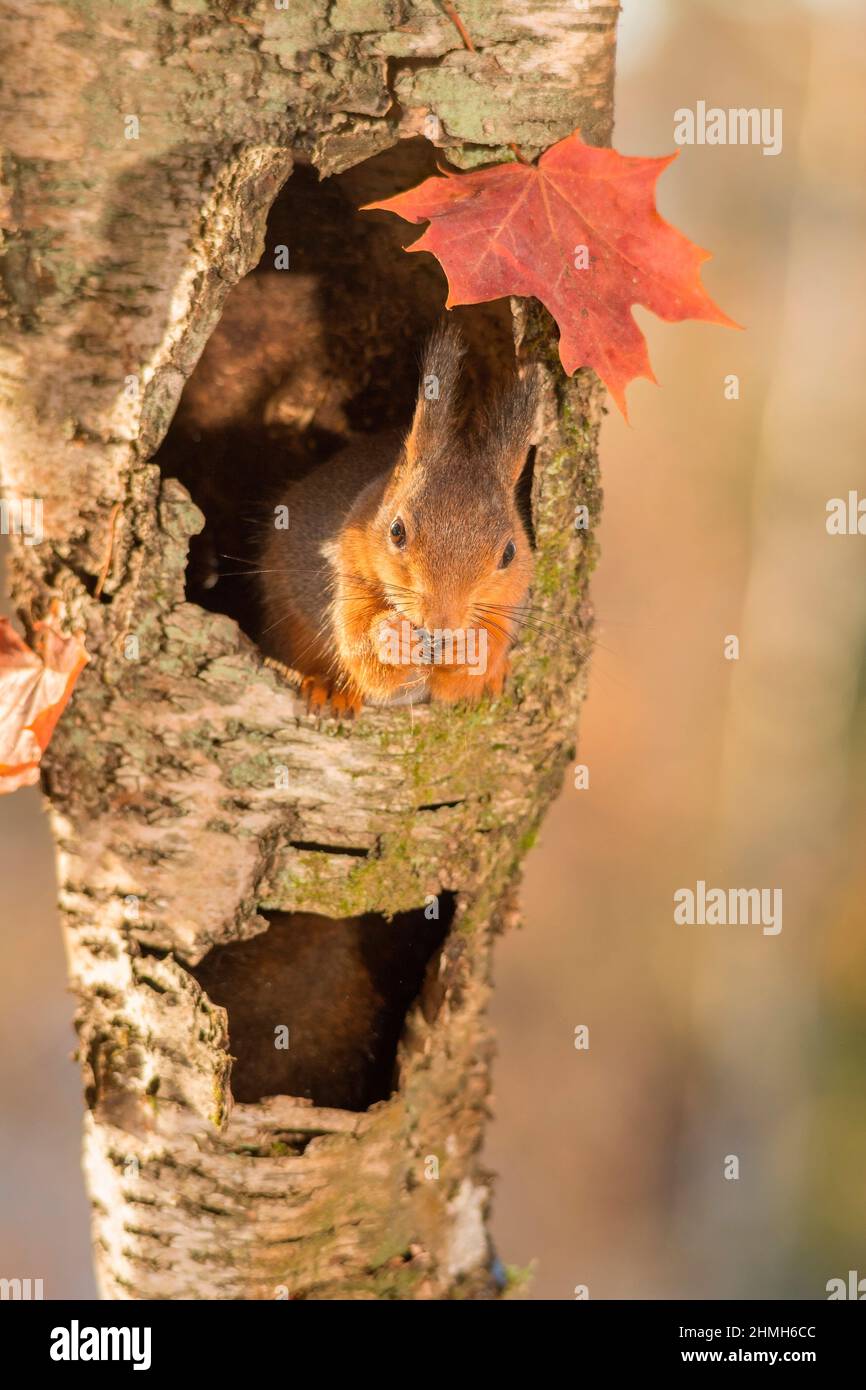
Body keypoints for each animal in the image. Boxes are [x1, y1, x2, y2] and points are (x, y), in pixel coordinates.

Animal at [258, 321, 539, 716]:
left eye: (510, 553)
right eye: (396, 531)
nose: (441, 623)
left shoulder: (511, 602)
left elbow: (466, 677)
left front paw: (473, 648)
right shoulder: (348, 574)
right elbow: (362, 653)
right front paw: (395, 638)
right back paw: (329, 688)